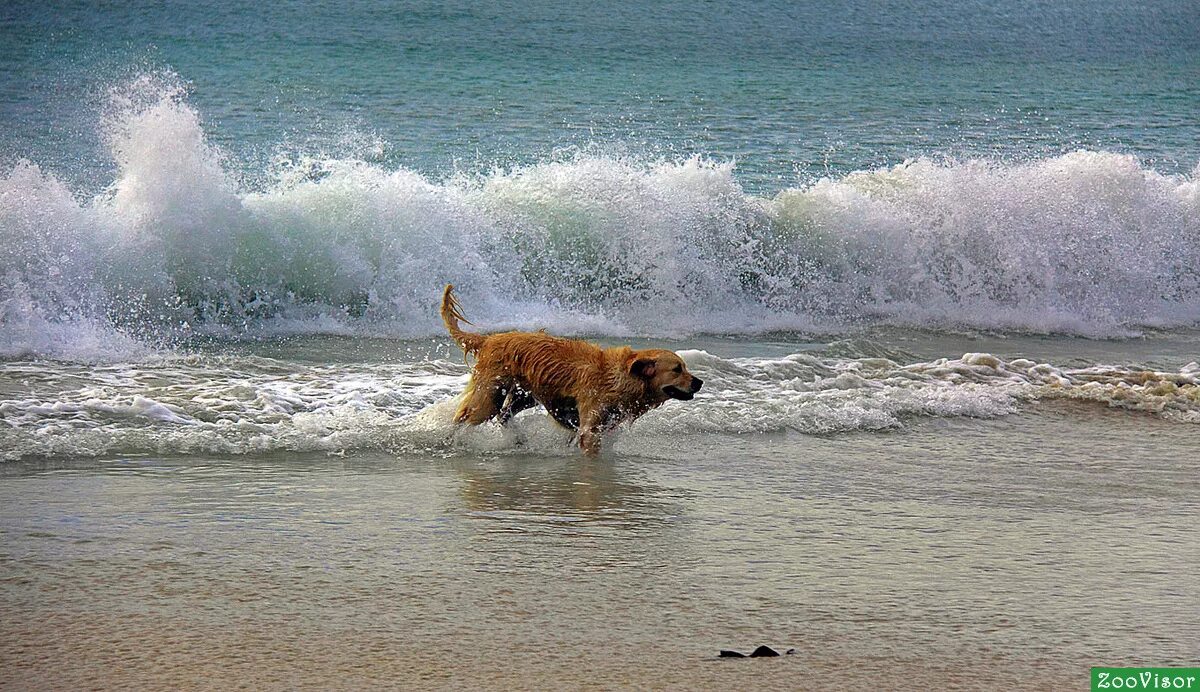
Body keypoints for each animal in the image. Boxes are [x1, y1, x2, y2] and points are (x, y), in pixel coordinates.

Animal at [441, 280, 700, 453]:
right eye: (677, 369)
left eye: (685, 368)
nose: (699, 382)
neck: (619, 377)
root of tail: (490, 339)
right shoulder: (590, 424)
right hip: (490, 394)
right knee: (465, 416)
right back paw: (449, 439)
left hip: (528, 394)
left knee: (504, 414)